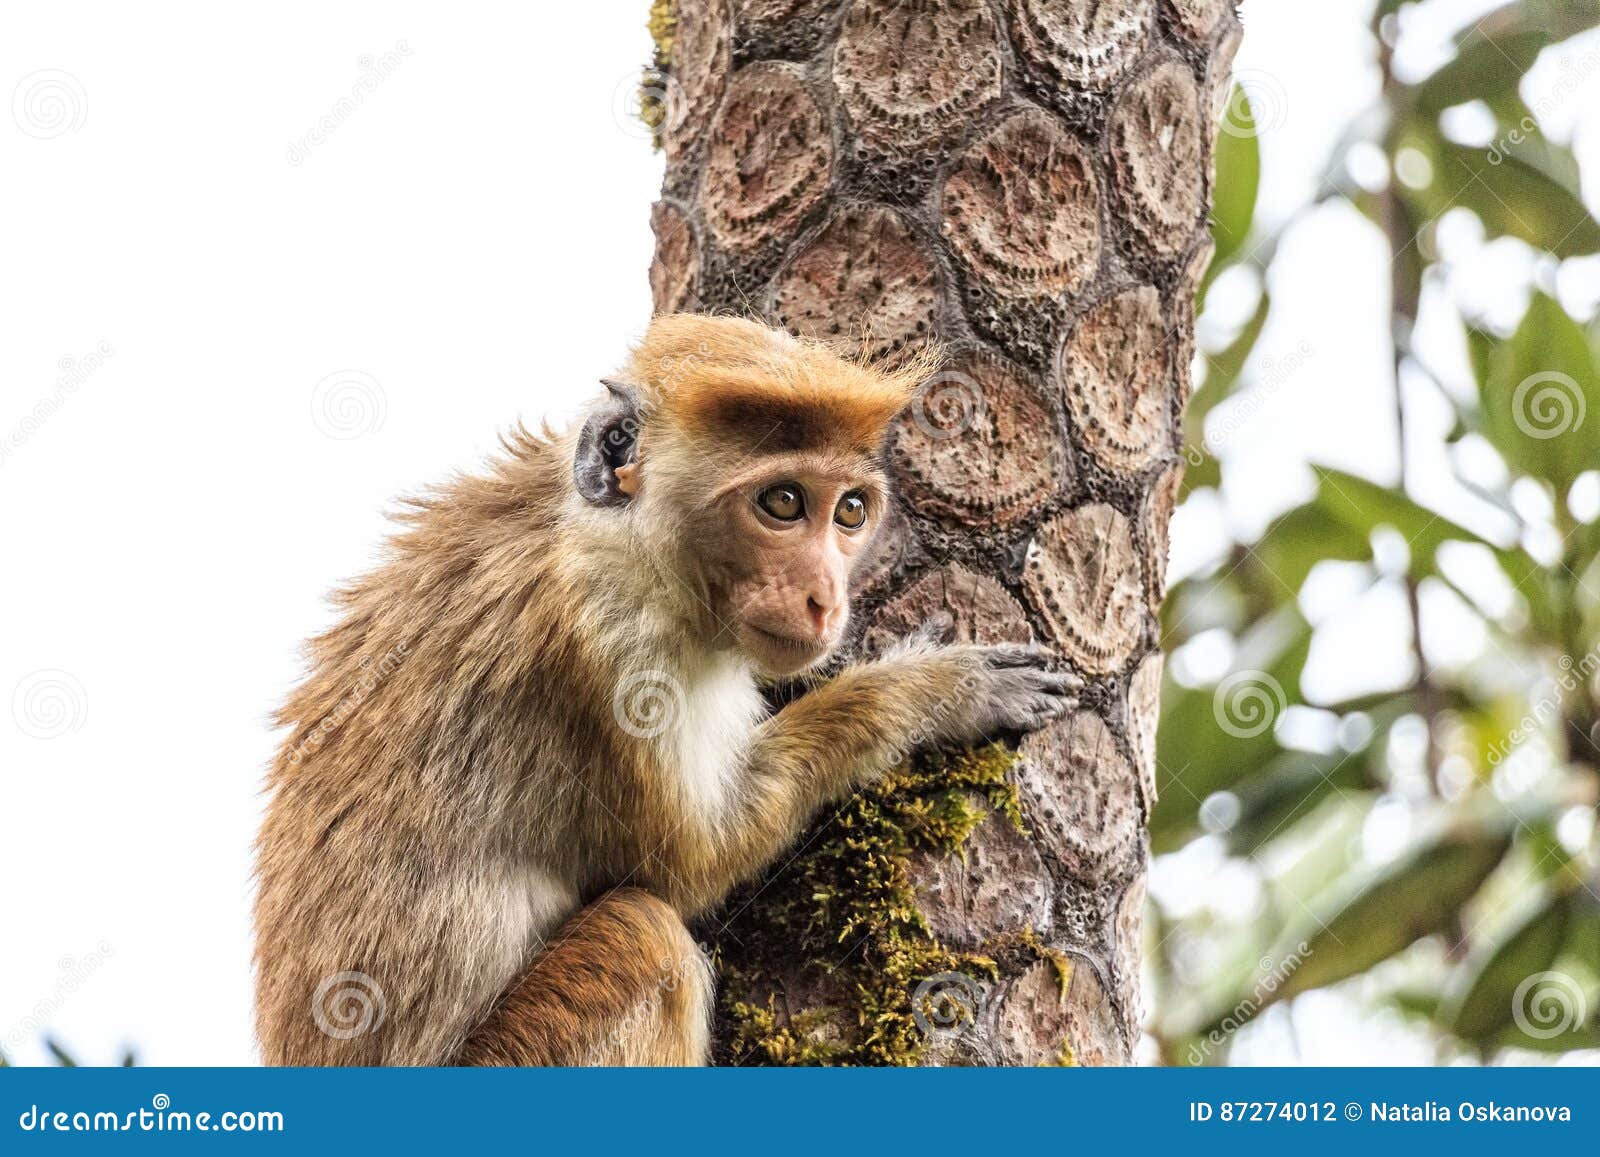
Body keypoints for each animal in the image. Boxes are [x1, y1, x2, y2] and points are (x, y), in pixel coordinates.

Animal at [253, 313, 1079, 1066]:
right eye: (783, 503)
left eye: (850, 510)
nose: (826, 599)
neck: (603, 533)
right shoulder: (620, 646)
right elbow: (698, 859)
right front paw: (937, 689)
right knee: (641, 935)